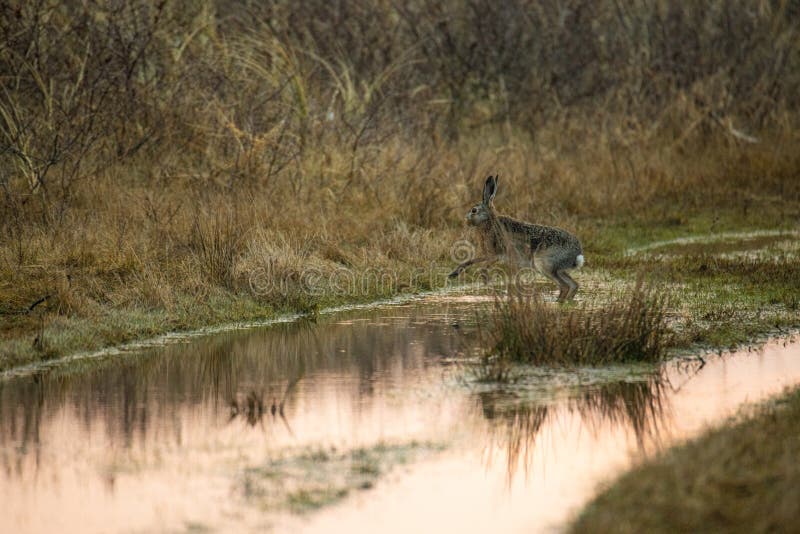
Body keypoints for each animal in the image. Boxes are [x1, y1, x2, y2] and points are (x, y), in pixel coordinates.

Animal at [448, 175, 584, 302]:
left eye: (474, 210)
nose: (466, 221)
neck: (489, 221)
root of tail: (577, 254)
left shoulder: (494, 254)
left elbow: (477, 263)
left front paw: (484, 278)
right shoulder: (493, 255)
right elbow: (472, 261)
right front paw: (455, 274)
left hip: (544, 265)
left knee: (565, 286)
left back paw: (557, 303)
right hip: (557, 269)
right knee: (573, 285)